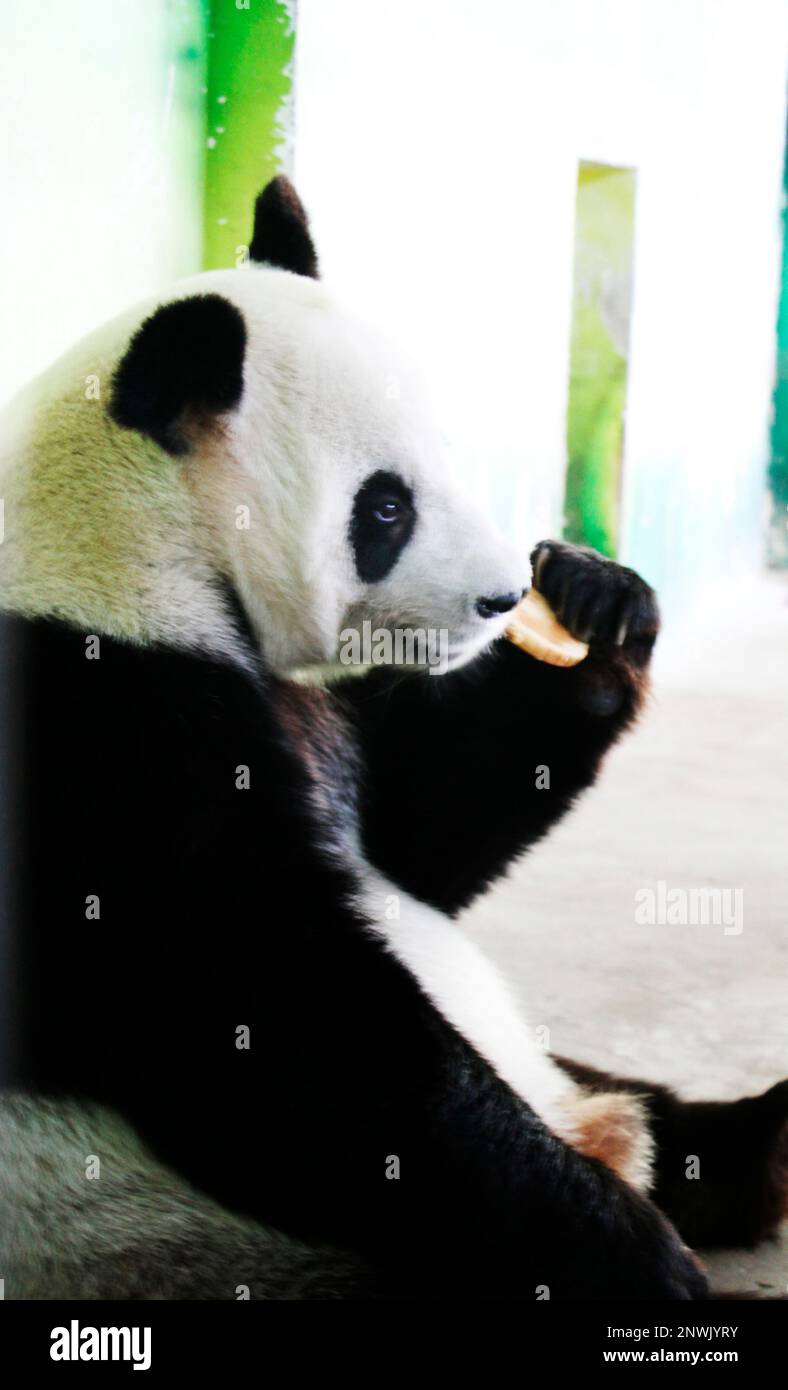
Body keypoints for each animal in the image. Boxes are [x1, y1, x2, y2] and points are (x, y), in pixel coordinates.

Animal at [0, 176, 786, 1301]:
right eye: (382, 508)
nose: (501, 595)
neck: (130, 538)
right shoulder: (98, 739)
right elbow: (273, 1024)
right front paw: (631, 1254)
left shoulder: (288, 705)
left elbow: (420, 825)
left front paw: (595, 610)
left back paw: (747, 1145)